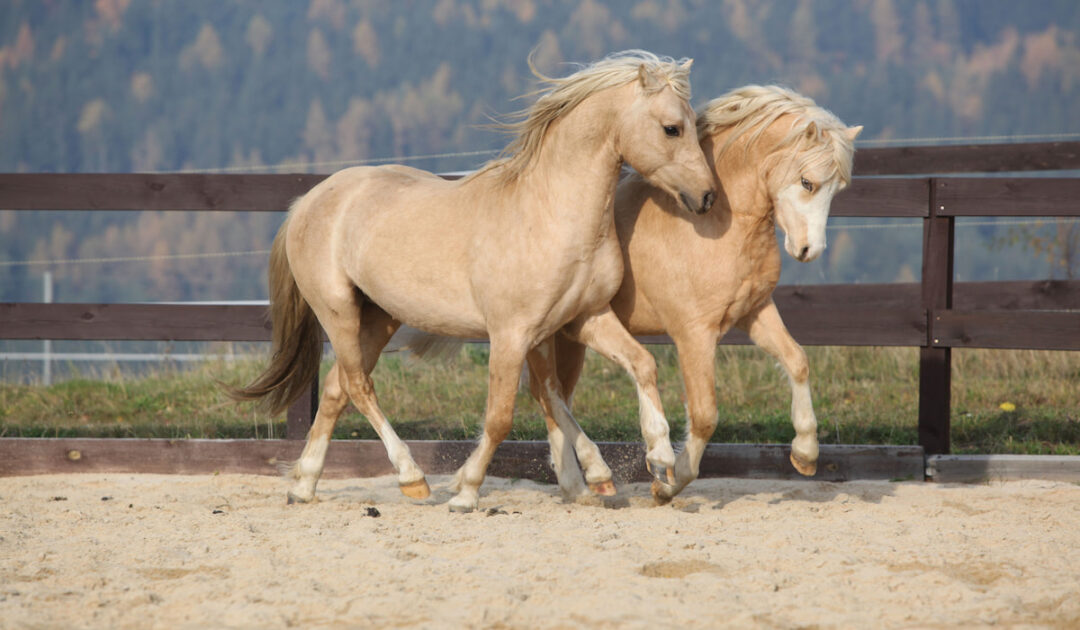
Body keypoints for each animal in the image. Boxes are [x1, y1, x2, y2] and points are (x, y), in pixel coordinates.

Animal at [229, 50, 715, 512]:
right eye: (672, 128)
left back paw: (305, 486)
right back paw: (412, 479)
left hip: (379, 317)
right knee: (358, 386)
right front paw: (466, 492)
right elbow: (503, 416)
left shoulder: (581, 319)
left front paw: (652, 461)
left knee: (334, 390)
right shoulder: (510, 334)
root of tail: (307, 201)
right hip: (337, 311)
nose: (707, 197)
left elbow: (619, 372)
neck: (549, 212)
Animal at [529, 85, 862, 502]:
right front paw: (667, 483)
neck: (714, 224)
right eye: (807, 182)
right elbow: (704, 417)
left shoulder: (755, 312)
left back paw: (577, 484)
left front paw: (805, 453)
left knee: (554, 397)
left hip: (569, 339)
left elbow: (797, 360)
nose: (808, 250)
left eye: (838, 188)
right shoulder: (694, 336)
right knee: (548, 394)